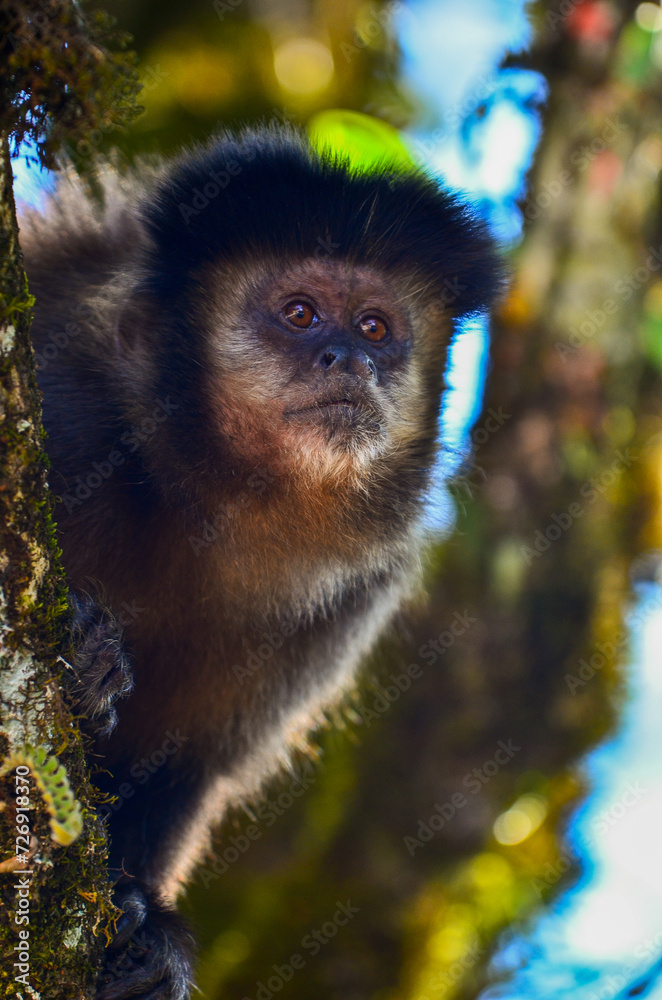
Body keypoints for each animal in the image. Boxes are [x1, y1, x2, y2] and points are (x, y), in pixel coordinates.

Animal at [19, 127, 503, 999]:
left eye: (376, 326)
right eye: (301, 313)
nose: (347, 357)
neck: (206, 500)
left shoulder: (357, 598)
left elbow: (192, 769)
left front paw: (147, 937)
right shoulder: (62, 397)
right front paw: (83, 654)